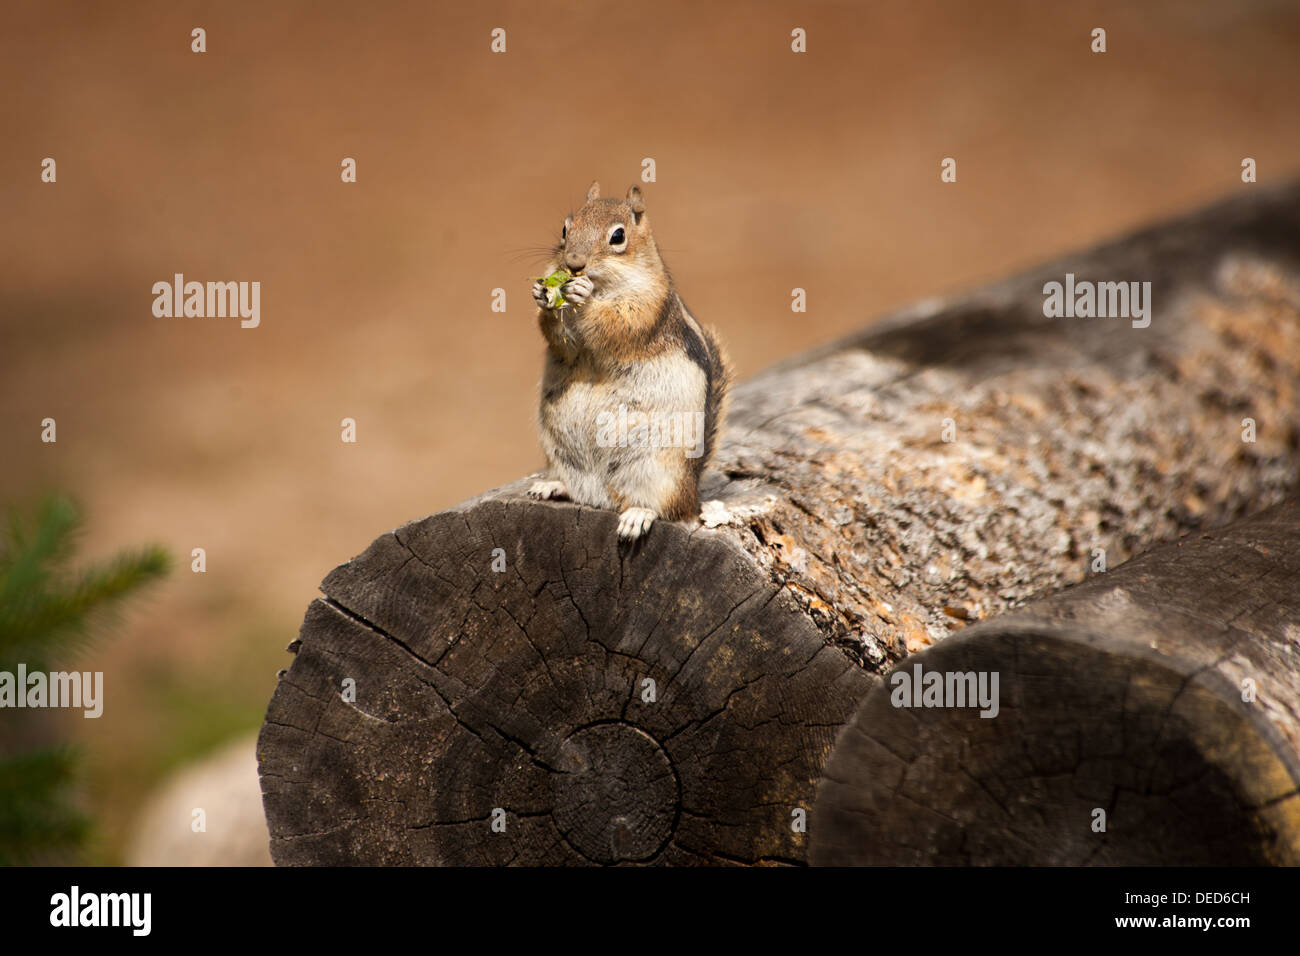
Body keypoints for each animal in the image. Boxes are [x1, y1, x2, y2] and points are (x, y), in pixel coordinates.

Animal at [528, 181, 732, 541]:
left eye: (618, 236)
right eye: (566, 228)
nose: (574, 263)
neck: (604, 287)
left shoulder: (647, 306)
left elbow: (619, 324)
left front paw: (580, 295)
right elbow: (560, 339)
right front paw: (544, 295)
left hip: (659, 473)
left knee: (664, 508)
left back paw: (637, 515)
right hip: (561, 456)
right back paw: (552, 487)